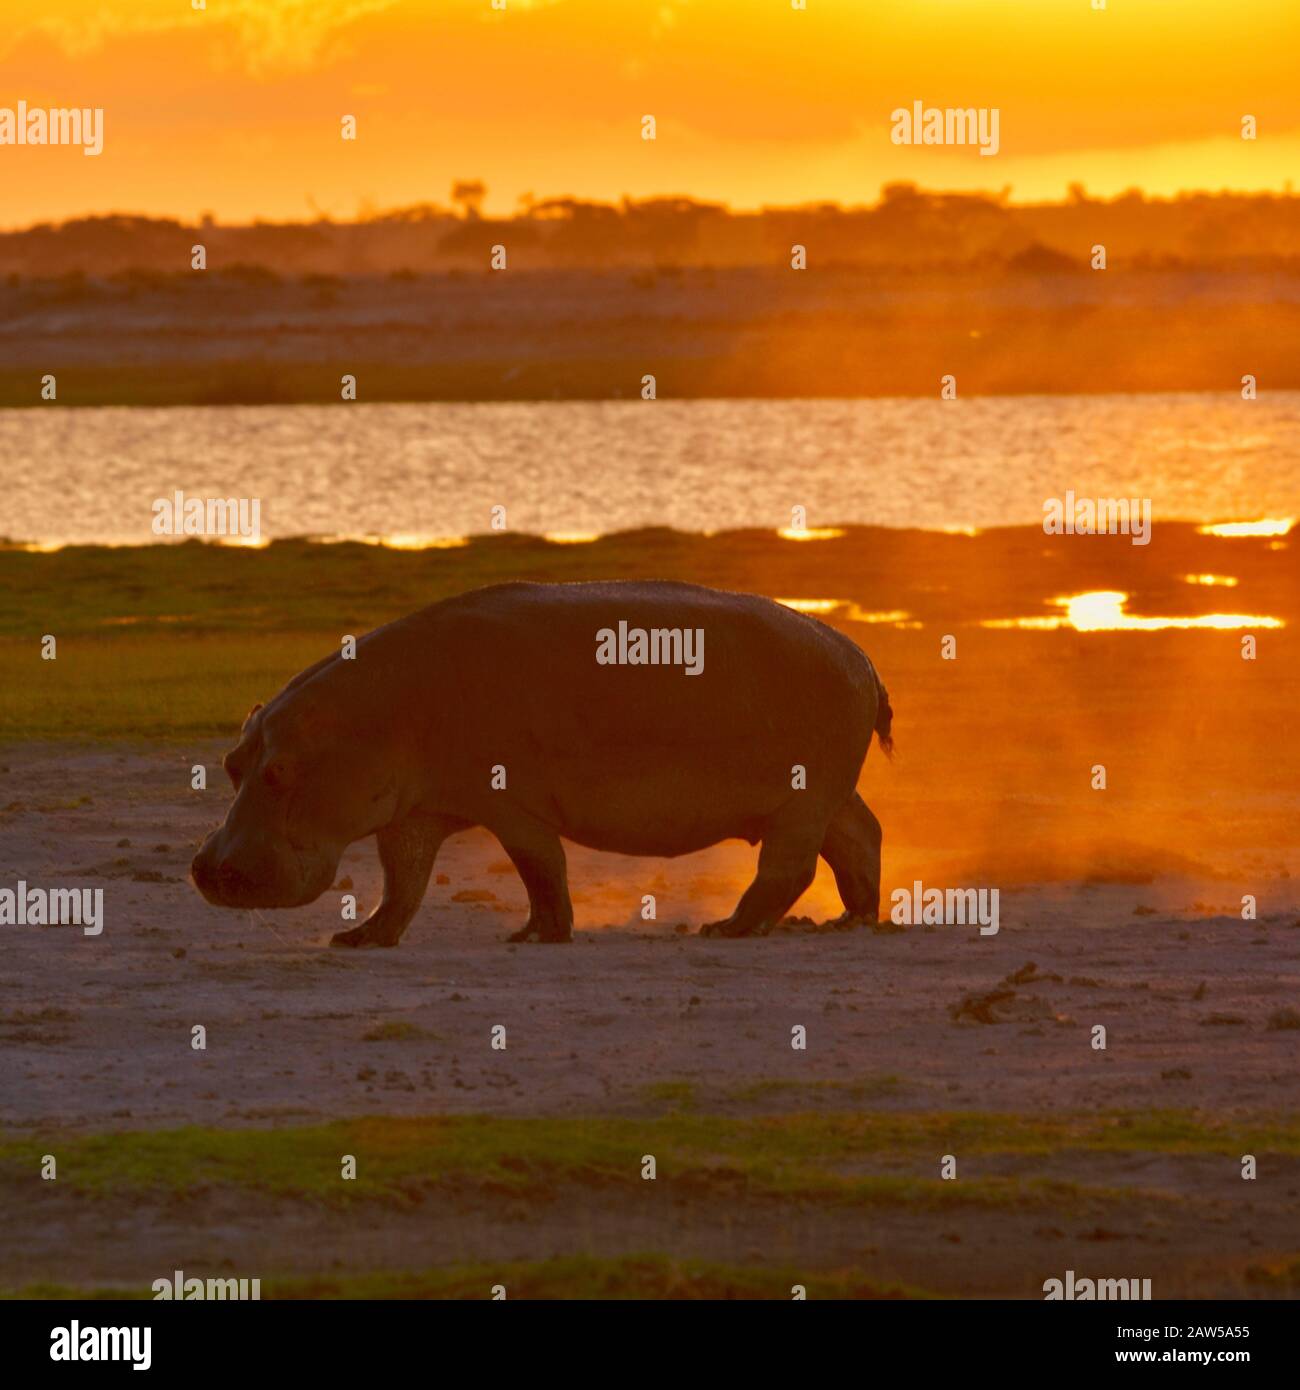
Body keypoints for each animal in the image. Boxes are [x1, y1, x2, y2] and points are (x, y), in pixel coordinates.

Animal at [191, 580, 893, 944]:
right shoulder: (415, 810)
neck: (368, 716)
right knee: (861, 837)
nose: (214, 870)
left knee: (790, 865)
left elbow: (540, 868)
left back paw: (727, 928)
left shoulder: (512, 804)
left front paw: (534, 935)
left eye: (280, 771)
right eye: (232, 763)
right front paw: (359, 937)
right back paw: (849, 919)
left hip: (801, 801)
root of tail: (860, 655)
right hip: (826, 795)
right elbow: (402, 880)